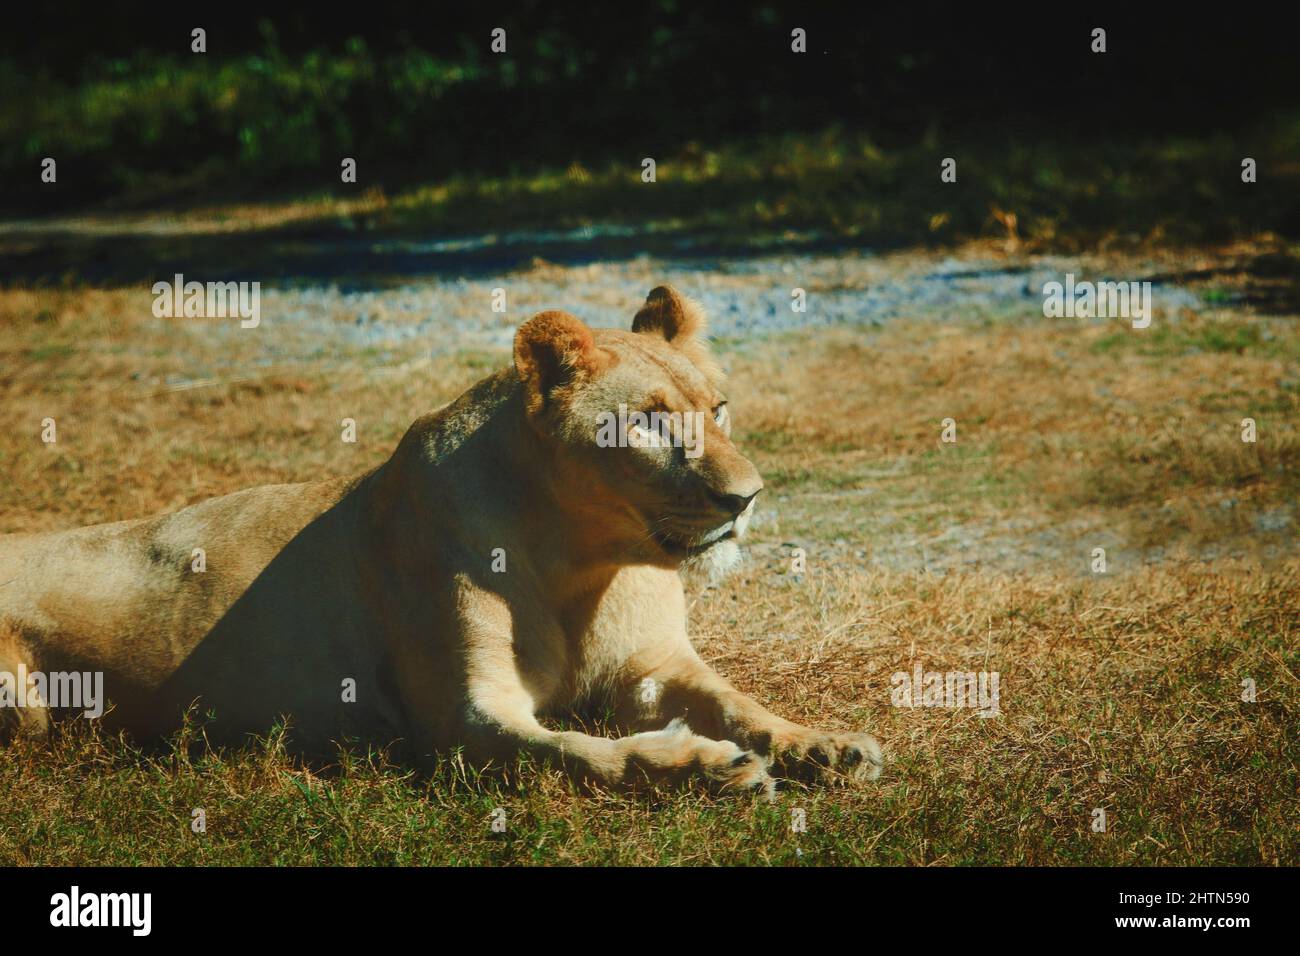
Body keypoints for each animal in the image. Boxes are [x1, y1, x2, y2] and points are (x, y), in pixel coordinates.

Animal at [0, 286, 881, 794]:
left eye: (719, 407)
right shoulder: (466, 721)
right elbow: (587, 752)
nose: (747, 498)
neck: (585, 559)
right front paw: (707, 765)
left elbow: (742, 703)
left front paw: (825, 746)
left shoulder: (652, 665)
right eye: (651, 423)